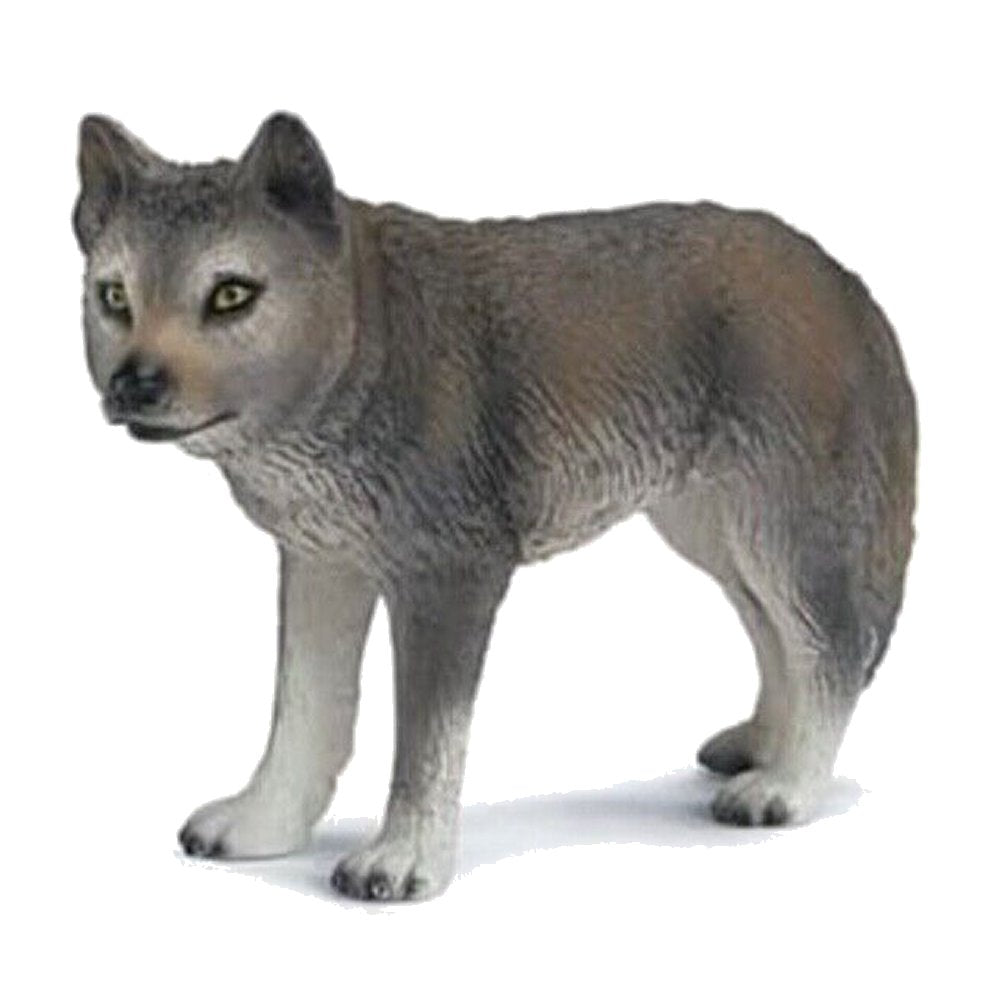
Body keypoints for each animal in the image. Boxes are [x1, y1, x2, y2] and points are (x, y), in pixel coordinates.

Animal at [73, 112, 916, 901]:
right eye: (114, 297)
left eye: (230, 295)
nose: (133, 385)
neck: (369, 347)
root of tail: (839, 276)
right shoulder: (322, 564)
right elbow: (305, 715)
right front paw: (266, 824)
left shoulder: (450, 579)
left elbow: (425, 747)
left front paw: (405, 860)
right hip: (712, 535)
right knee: (777, 635)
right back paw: (767, 745)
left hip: (773, 536)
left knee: (834, 645)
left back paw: (789, 785)